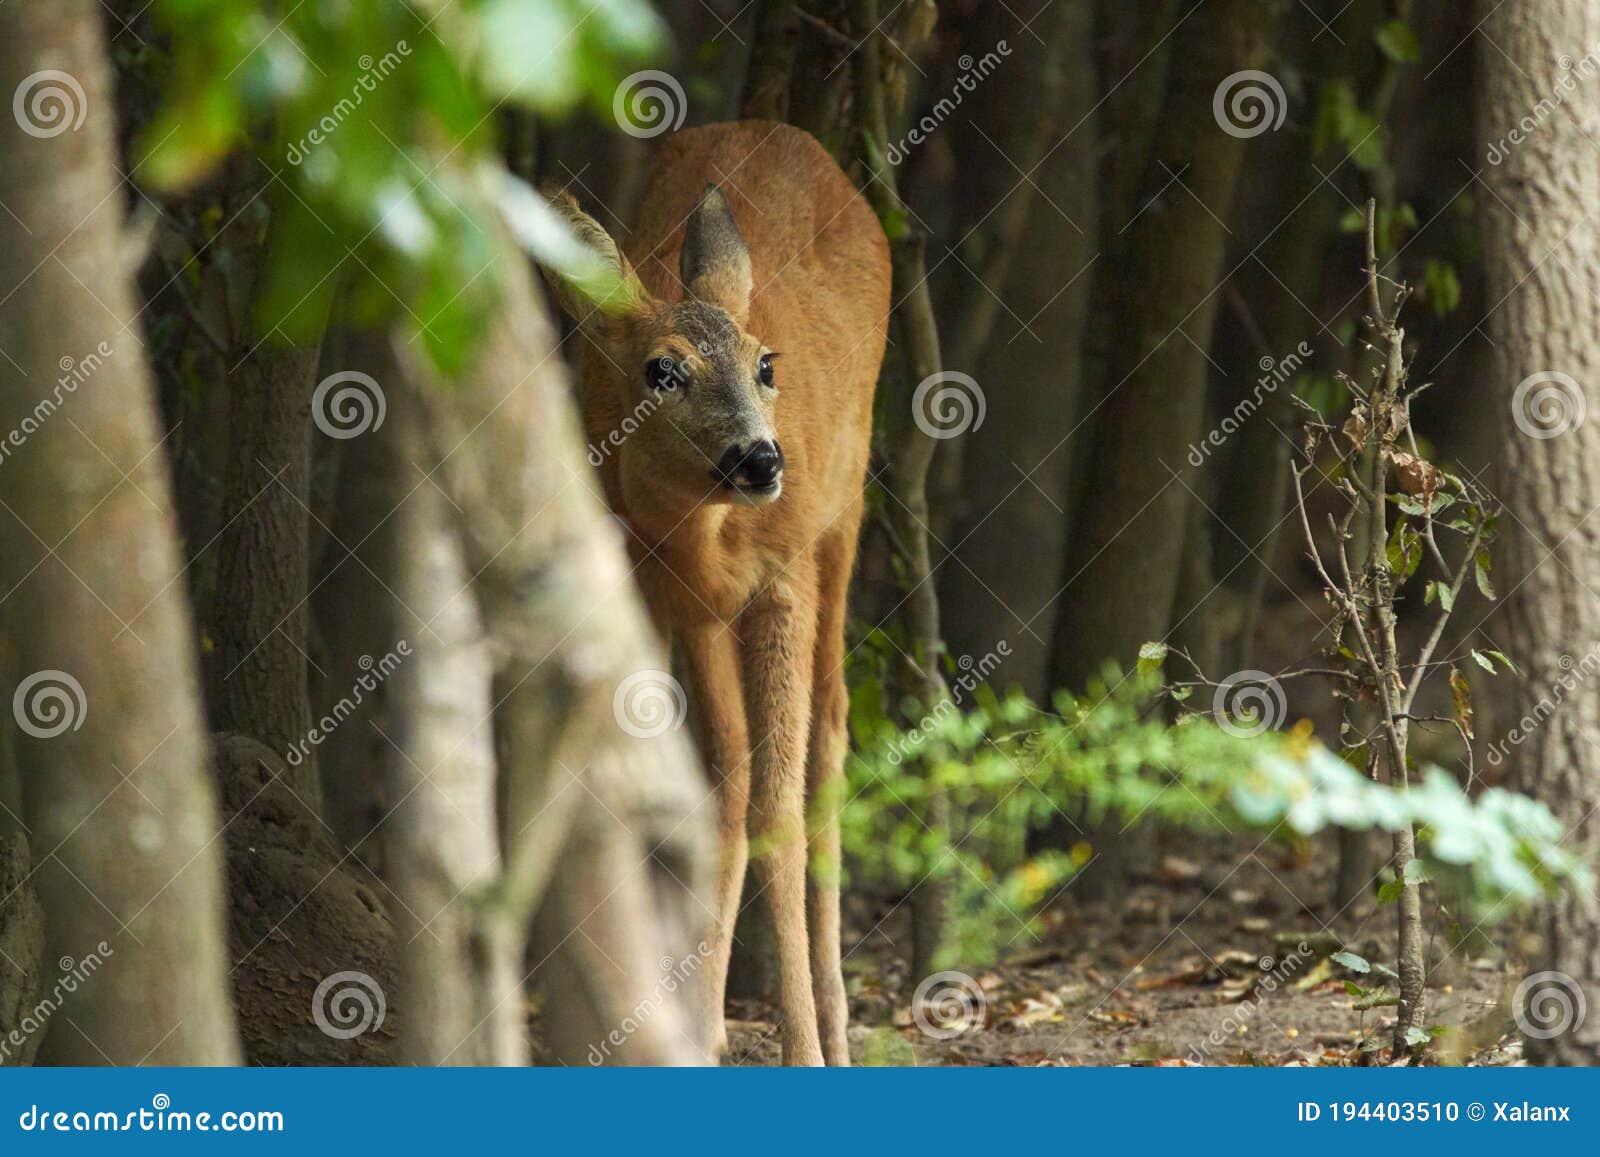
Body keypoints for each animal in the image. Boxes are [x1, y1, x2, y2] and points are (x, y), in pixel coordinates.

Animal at [543, 120, 891, 1066]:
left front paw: (802, 1048)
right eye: (663, 371)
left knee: (833, 725)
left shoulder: (782, 578)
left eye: (764, 362)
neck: (706, 540)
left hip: (846, 512)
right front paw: (693, 1029)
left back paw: (839, 1023)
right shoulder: (671, 599)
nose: (762, 458)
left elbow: (777, 802)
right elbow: (719, 792)